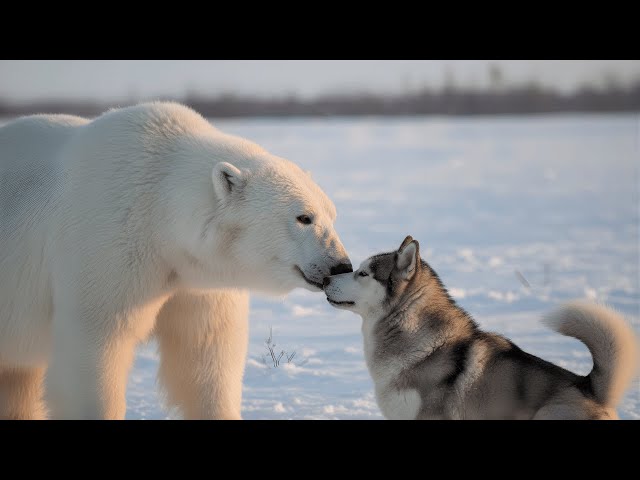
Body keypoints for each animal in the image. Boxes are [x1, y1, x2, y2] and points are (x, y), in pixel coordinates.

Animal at [0, 102, 351, 419]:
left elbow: (205, 356)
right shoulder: (107, 249)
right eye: (303, 217)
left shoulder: (198, 280)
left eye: (332, 215)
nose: (340, 266)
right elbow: (95, 346)